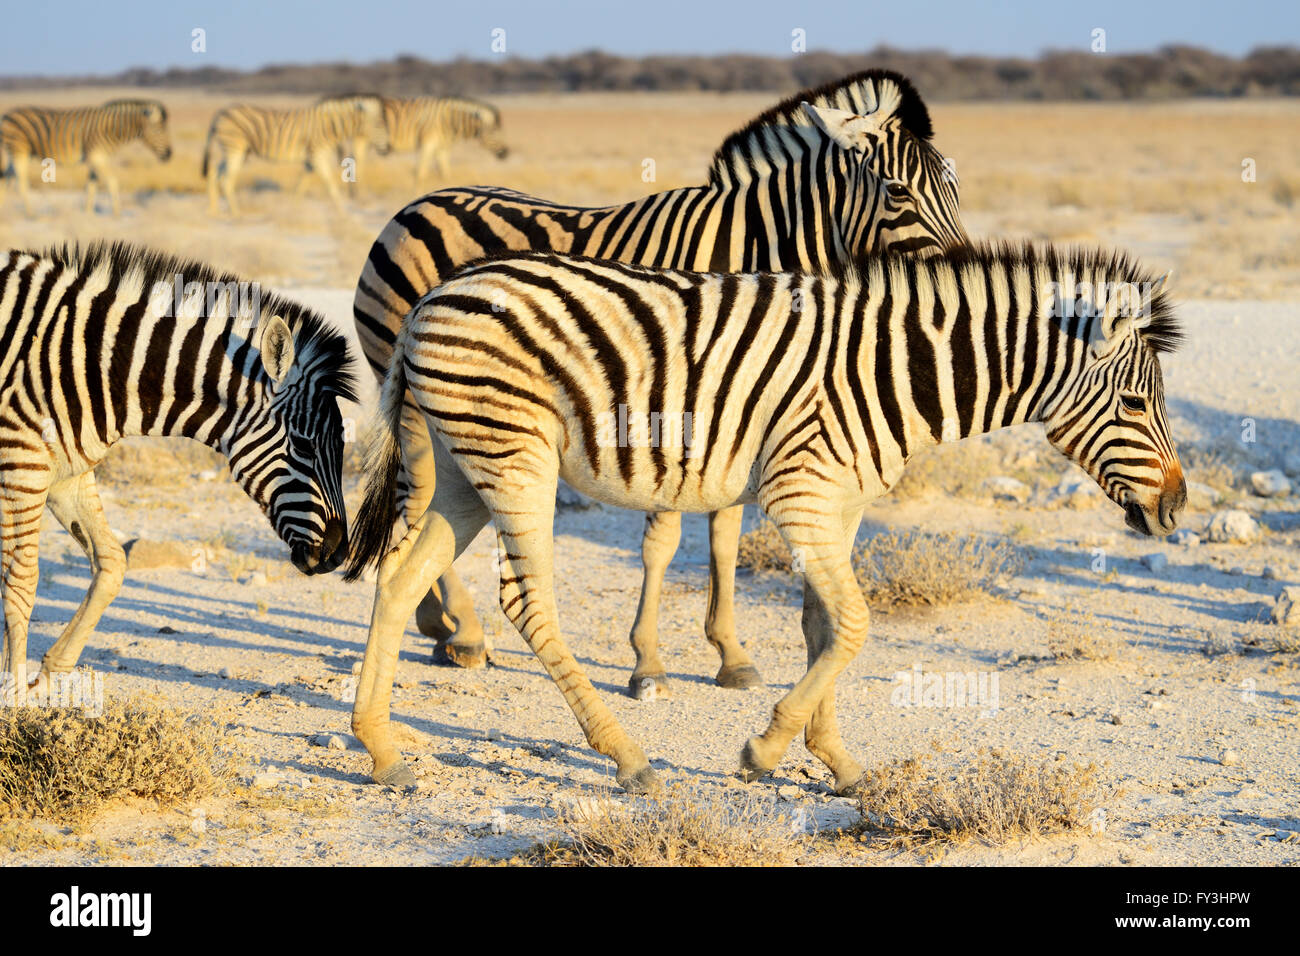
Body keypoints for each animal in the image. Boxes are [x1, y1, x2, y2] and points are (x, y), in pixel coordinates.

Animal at [0, 99, 172, 216]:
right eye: (158, 131)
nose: (170, 155)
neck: (113, 129)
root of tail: (6, 115)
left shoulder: (96, 159)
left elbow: (91, 186)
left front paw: (88, 214)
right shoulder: (97, 157)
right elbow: (112, 182)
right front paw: (117, 213)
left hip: (17, 153)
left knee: (5, 177)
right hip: (18, 150)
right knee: (21, 183)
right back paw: (31, 214)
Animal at [0, 241, 357, 705]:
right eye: (303, 446)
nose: (336, 554)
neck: (92, 364)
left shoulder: (67, 473)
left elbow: (112, 563)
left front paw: (48, 675)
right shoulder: (21, 465)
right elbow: (22, 581)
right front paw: (13, 698)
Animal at [202, 95, 390, 216]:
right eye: (379, 126)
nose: (387, 148)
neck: (331, 127)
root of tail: (220, 112)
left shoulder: (311, 159)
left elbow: (301, 184)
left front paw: (293, 209)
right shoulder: (318, 155)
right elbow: (330, 184)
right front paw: (344, 214)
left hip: (238, 152)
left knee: (215, 173)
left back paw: (213, 210)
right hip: (234, 148)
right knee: (226, 180)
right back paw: (236, 213)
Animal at [342, 241, 1186, 793]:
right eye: (1135, 404)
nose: (1176, 508)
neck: (896, 372)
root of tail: (431, 298)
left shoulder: (841, 503)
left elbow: (824, 627)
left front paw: (836, 762)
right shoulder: (801, 492)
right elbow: (854, 625)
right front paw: (766, 750)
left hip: (462, 467)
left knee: (399, 576)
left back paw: (380, 747)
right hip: (513, 453)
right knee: (526, 600)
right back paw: (626, 756)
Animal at [375, 96, 508, 187]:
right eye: (493, 133)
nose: (506, 153)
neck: (449, 120)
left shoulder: (442, 148)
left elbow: (445, 174)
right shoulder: (427, 145)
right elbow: (420, 174)